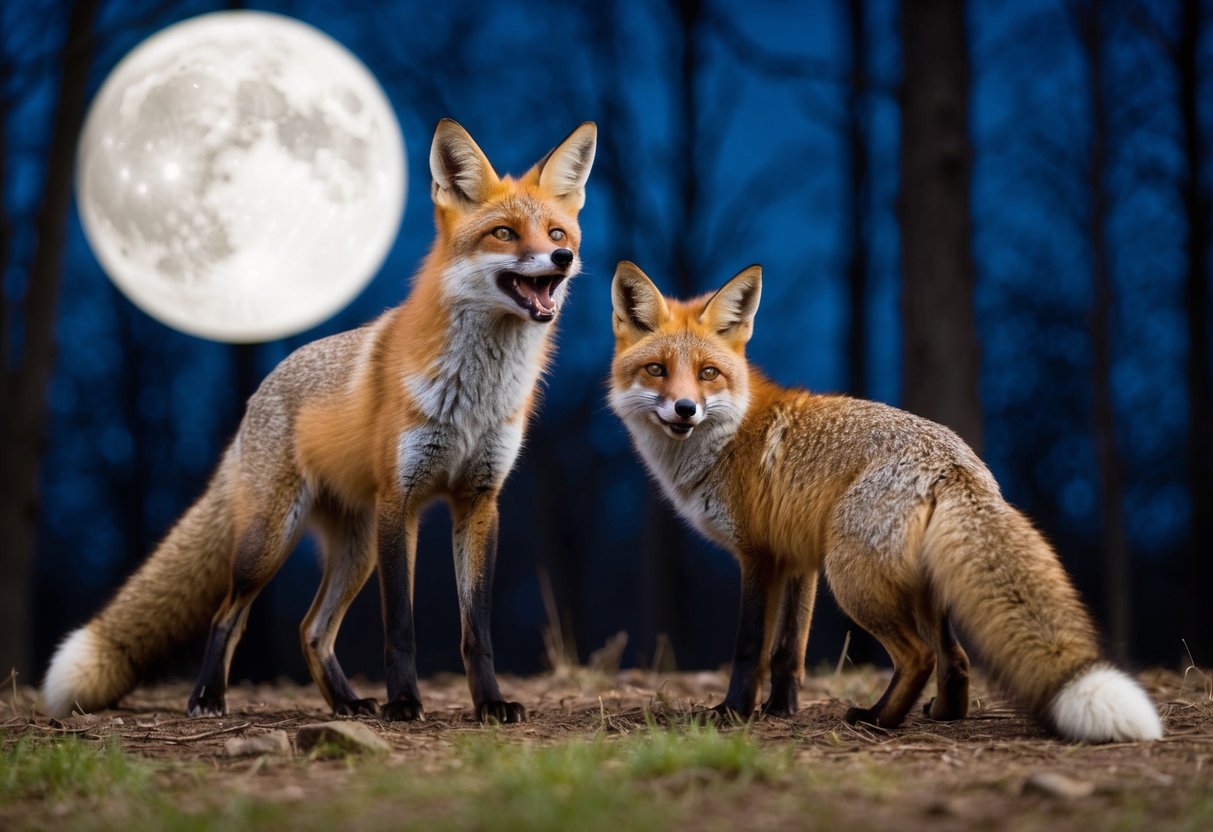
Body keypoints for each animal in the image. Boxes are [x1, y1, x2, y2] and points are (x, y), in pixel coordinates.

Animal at [41, 119, 597, 724]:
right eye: (503, 233)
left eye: (557, 233)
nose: (562, 259)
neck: (474, 395)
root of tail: (259, 395)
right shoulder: (400, 501)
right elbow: (400, 627)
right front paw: (404, 703)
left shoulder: (478, 501)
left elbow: (477, 631)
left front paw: (490, 704)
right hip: (270, 542)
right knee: (227, 616)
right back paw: (209, 697)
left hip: (356, 552)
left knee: (312, 630)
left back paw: (348, 704)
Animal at [608, 261, 1163, 743]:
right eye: (657, 369)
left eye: (707, 373)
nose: (685, 409)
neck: (729, 434)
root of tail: (956, 461)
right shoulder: (797, 560)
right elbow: (790, 650)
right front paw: (781, 711)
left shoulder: (759, 557)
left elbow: (751, 648)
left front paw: (734, 713)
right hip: (918, 584)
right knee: (955, 658)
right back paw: (942, 715)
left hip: (854, 579)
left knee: (919, 656)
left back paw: (876, 720)